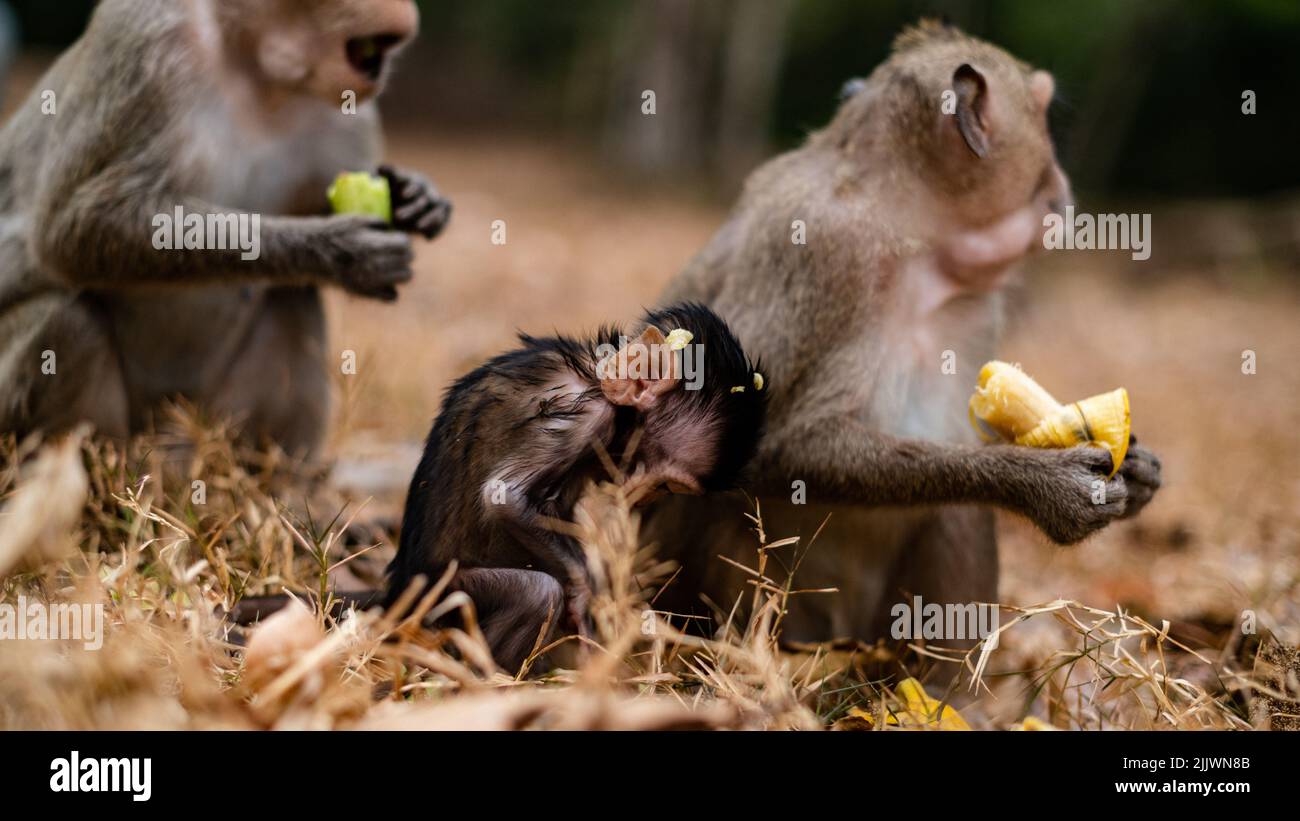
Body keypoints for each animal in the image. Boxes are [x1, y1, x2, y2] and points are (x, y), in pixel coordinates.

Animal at [0, 0, 450, 456]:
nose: (405, 11)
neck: (259, 72)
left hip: (214, 419)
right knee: (67, 320)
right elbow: (71, 228)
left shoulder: (348, 115)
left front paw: (415, 197)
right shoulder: (143, 42)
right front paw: (339, 250)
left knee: (293, 300)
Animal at [385, 303, 767, 671]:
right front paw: (584, 594)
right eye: (666, 483)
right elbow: (505, 498)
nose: (647, 494)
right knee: (537, 592)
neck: (596, 377)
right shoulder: (585, 419)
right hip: (443, 594)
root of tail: (399, 593)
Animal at [645, 20, 1163, 664]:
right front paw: (1043, 484)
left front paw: (1136, 468)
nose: (1063, 185)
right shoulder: (824, 251)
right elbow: (756, 442)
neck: (911, 233)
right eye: (1044, 117)